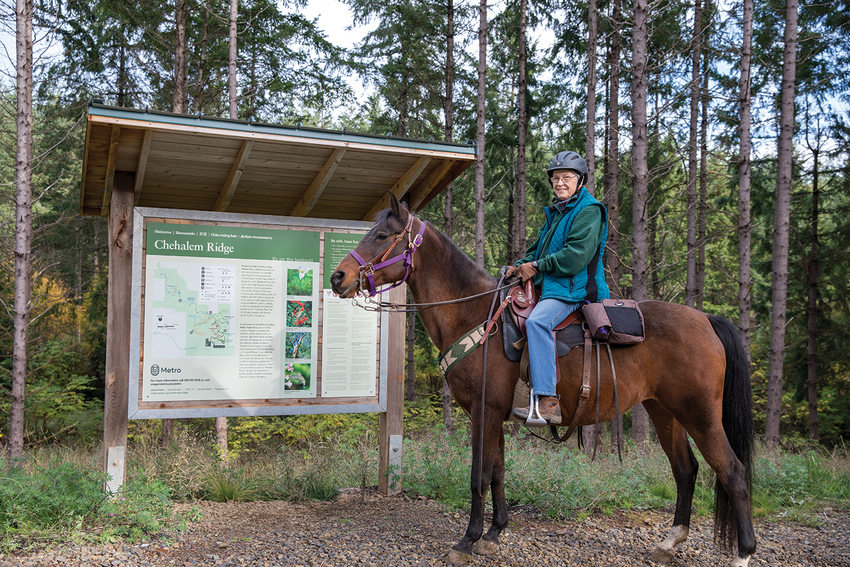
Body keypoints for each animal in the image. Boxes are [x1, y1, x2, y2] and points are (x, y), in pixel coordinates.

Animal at [330, 195, 756, 567]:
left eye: (382, 235)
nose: (338, 277)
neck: (474, 313)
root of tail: (706, 320)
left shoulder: (483, 411)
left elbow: (478, 475)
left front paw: (467, 540)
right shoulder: (495, 414)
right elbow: (498, 472)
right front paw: (494, 534)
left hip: (700, 414)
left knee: (733, 472)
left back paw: (743, 553)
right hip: (664, 411)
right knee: (686, 470)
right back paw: (670, 542)